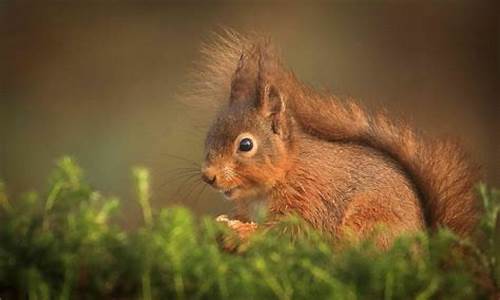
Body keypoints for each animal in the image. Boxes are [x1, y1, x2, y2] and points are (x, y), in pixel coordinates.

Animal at [193, 31, 478, 248]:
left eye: (246, 145)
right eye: (209, 133)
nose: (208, 175)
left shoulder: (310, 198)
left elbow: (293, 231)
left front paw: (240, 234)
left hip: (369, 223)